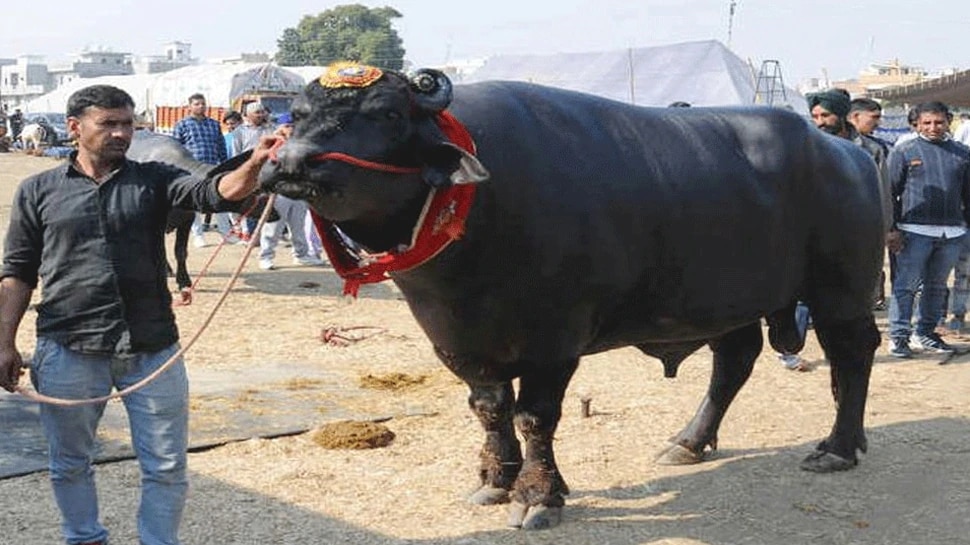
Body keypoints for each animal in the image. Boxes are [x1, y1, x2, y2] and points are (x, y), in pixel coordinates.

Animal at [259, 64, 884, 530]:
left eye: (386, 113)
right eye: (302, 114)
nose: (290, 162)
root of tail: (847, 154)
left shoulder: (553, 341)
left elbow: (536, 416)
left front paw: (538, 496)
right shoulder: (456, 340)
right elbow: (490, 410)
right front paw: (496, 481)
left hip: (842, 290)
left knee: (853, 352)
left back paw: (837, 447)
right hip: (730, 298)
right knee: (734, 362)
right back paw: (688, 441)